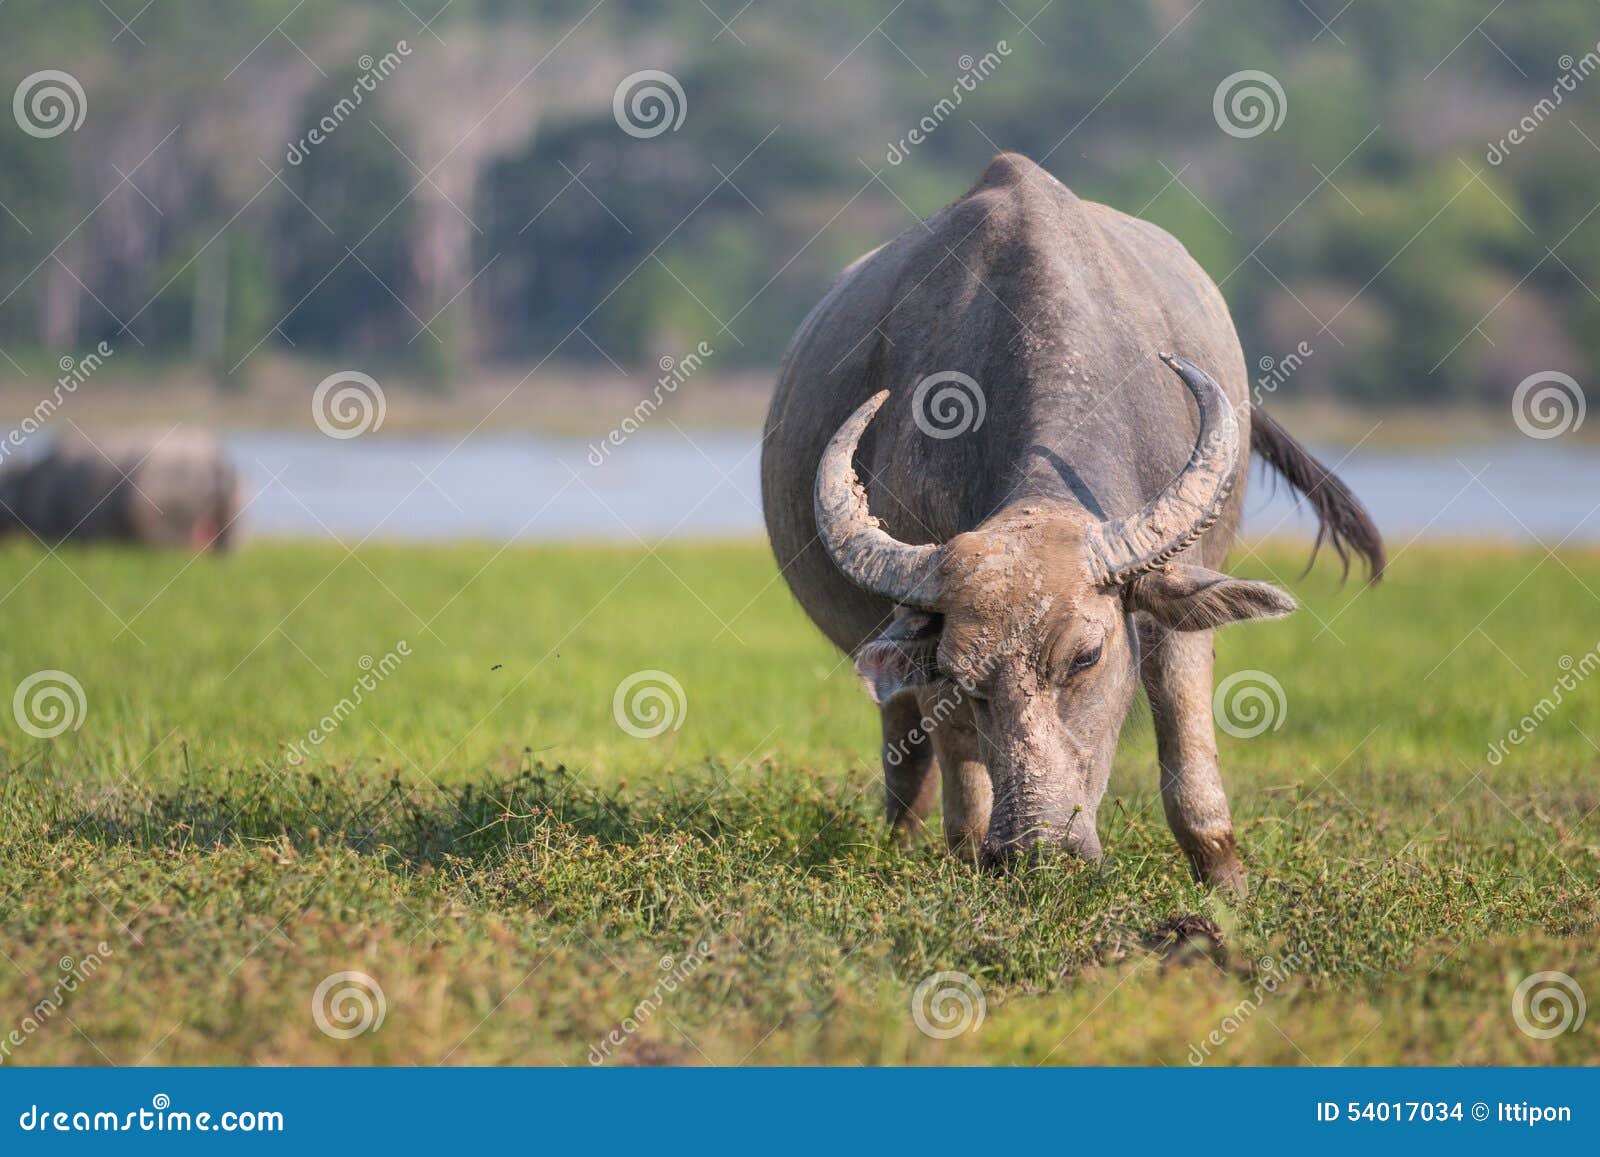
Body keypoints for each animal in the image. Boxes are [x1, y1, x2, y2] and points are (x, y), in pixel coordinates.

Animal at [761, 153, 1382, 889]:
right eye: (961, 675)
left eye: (1087, 656)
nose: (1037, 851)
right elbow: (963, 785)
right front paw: (972, 855)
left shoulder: (1179, 595)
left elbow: (1188, 757)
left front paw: (1226, 882)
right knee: (905, 754)